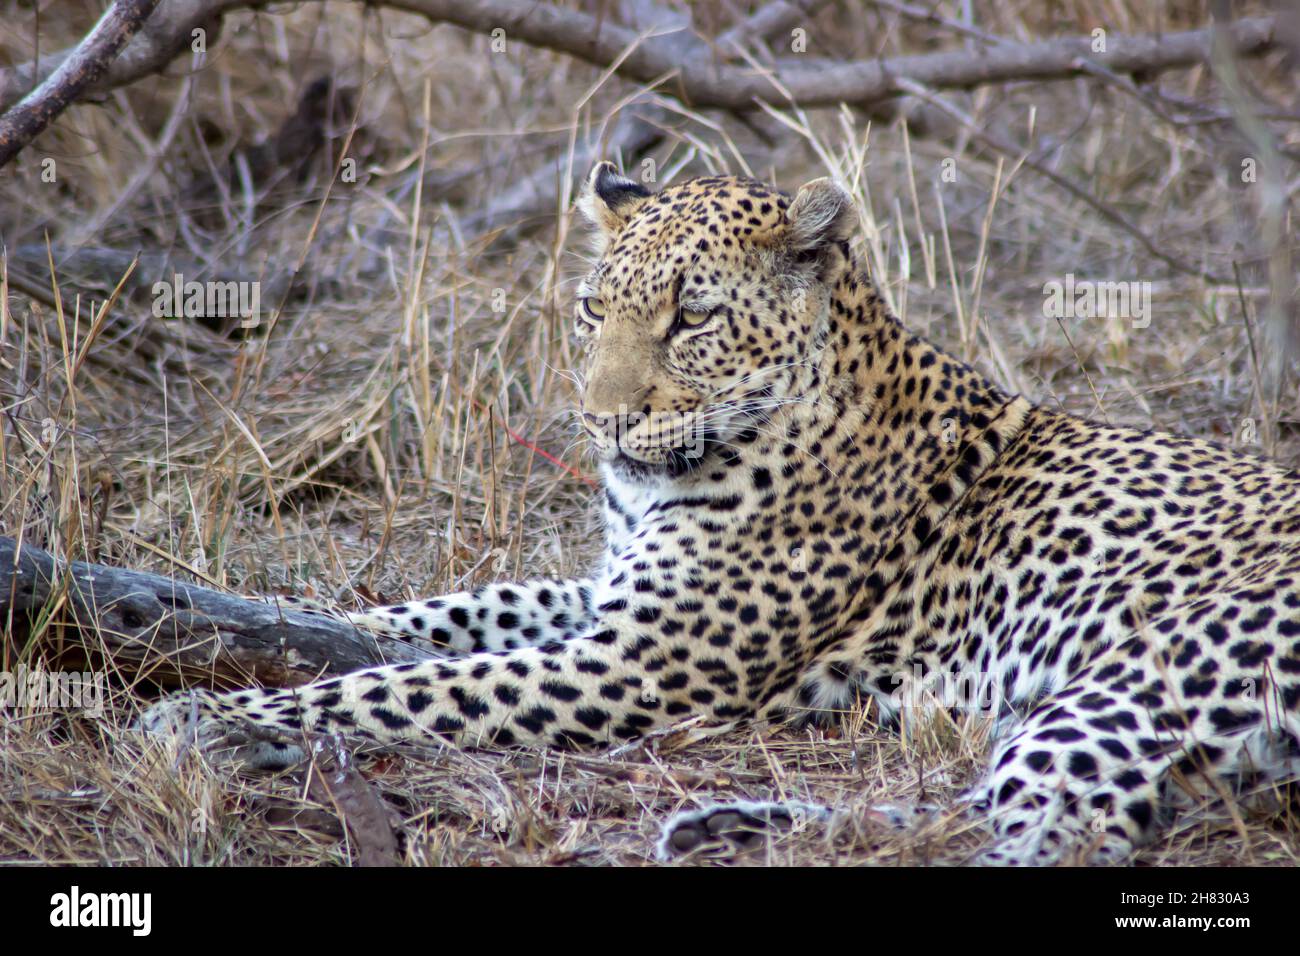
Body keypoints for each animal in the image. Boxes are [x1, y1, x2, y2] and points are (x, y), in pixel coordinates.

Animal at [140, 162, 1300, 865]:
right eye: (592, 308)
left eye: (689, 318)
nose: (602, 418)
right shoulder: (609, 599)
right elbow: (442, 615)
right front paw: (236, 615)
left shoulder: (639, 661)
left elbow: (406, 688)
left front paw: (207, 719)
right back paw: (720, 822)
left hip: (1141, 676)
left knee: (1035, 838)